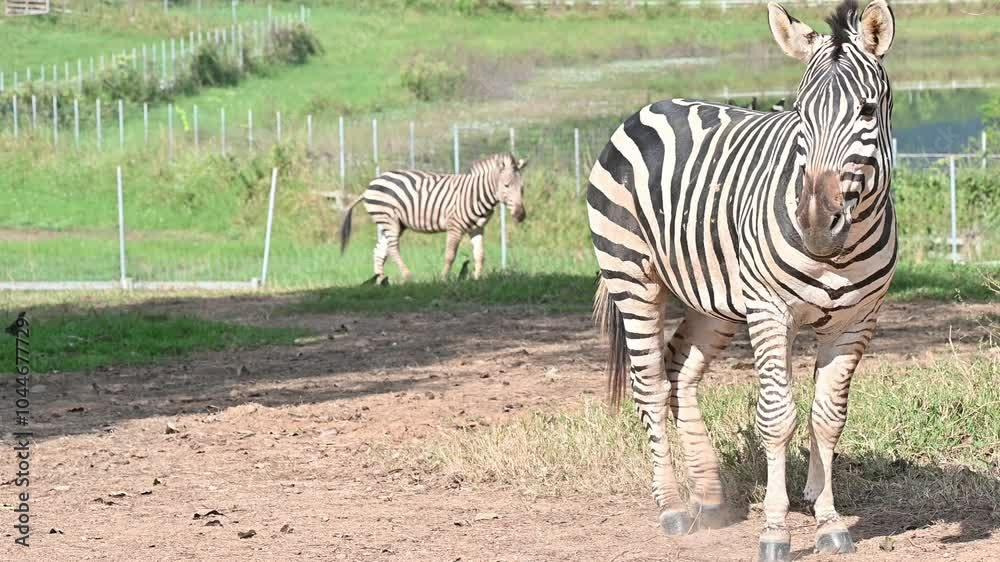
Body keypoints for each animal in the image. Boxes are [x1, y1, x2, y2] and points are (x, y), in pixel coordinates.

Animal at [340, 153, 528, 283]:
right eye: (506, 185)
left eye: (522, 188)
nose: (521, 215)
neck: (475, 194)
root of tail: (370, 185)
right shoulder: (455, 226)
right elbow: (450, 255)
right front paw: (444, 279)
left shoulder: (477, 228)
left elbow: (480, 254)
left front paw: (477, 279)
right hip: (389, 219)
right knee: (392, 249)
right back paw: (407, 276)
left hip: (396, 224)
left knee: (380, 251)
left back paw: (380, 281)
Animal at [587, 1, 895, 560]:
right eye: (800, 114)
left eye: (866, 110)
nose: (816, 224)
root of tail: (651, 107)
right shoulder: (770, 311)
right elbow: (776, 417)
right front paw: (775, 530)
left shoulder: (857, 320)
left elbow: (828, 417)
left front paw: (829, 522)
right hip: (631, 277)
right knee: (648, 383)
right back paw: (671, 507)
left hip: (711, 300)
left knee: (679, 373)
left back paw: (709, 499)